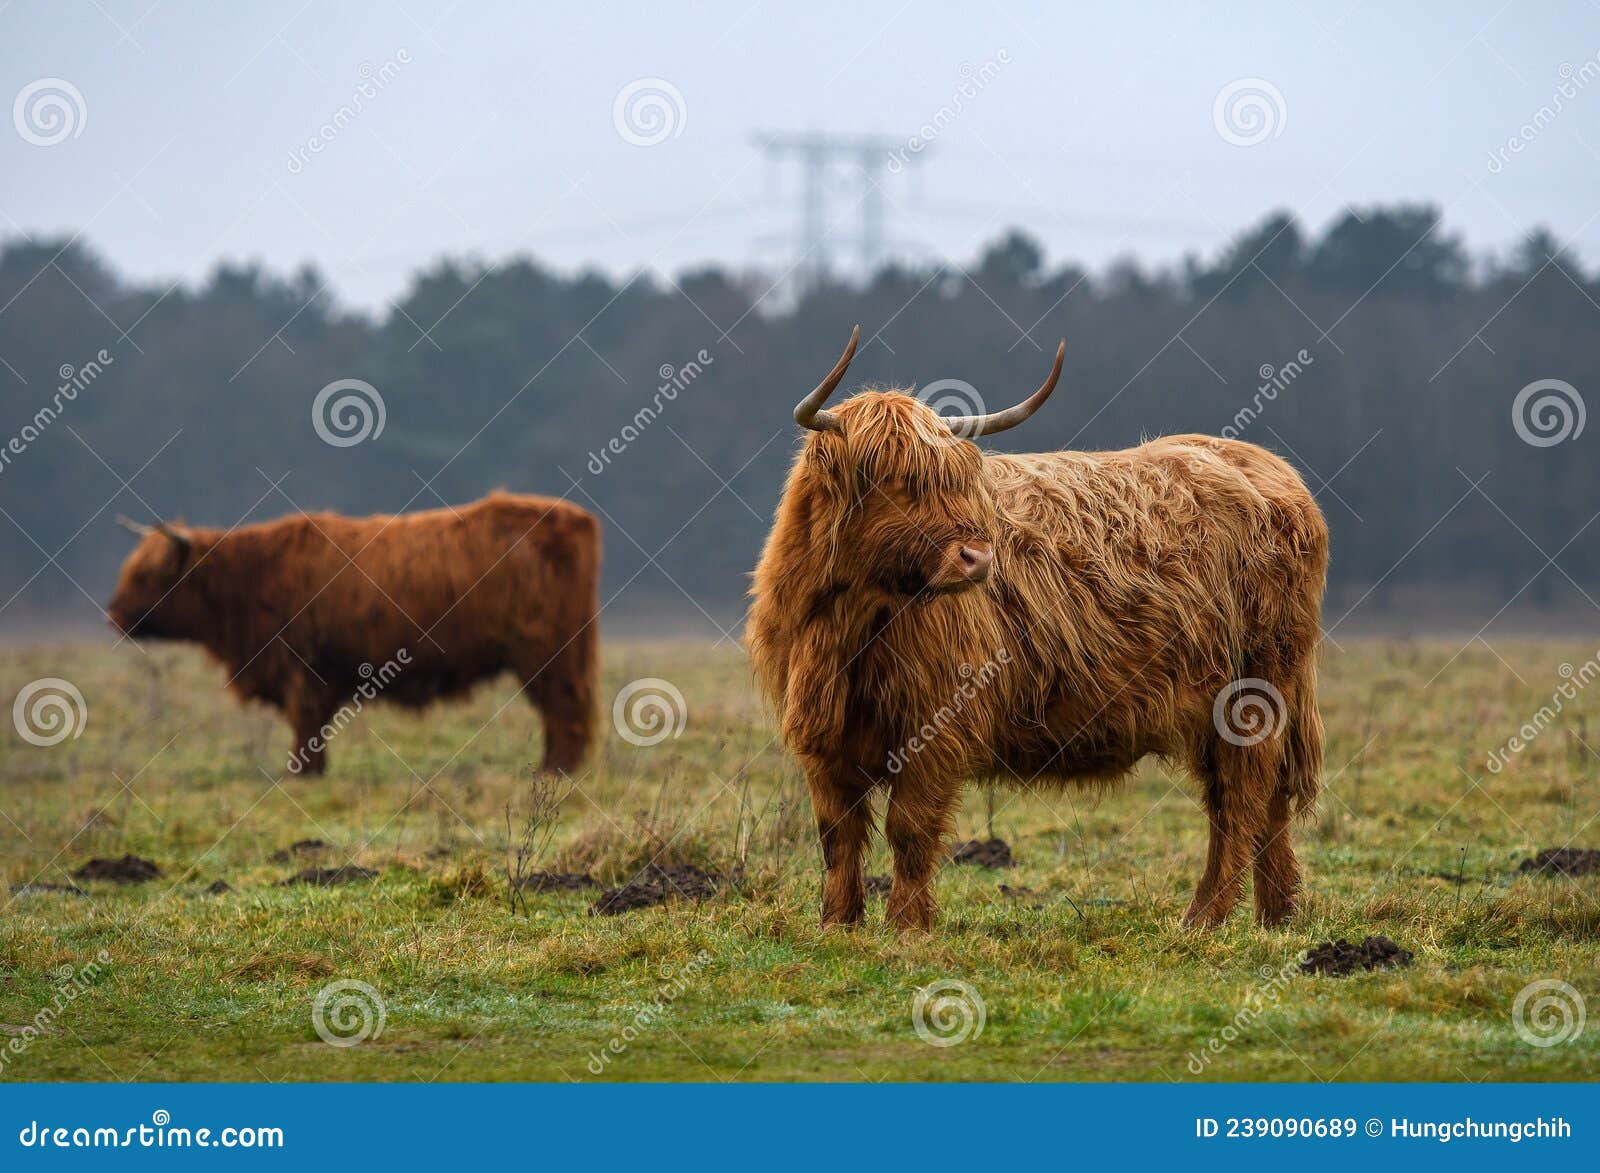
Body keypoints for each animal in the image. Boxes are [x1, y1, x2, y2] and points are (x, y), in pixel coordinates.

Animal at [107, 491, 599, 776]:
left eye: (148, 575)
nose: (113, 614)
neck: (251, 579)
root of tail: (569, 517)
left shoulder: (302, 670)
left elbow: (306, 723)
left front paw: (302, 773)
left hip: (544, 650)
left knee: (563, 706)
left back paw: (555, 770)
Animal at [747, 328, 1328, 932]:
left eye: (958, 481)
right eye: (893, 481)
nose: (977, 557)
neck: (847, 623)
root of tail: (1266, 467)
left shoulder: (936, 721)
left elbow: (909, 828)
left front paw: (907, 926)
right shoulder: (822, 736)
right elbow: (837, 834)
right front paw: (838, 923)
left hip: (1254, 690)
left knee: (1242, 798)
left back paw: (1206, 917)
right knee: (1261, 801)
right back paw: (1276, 914)